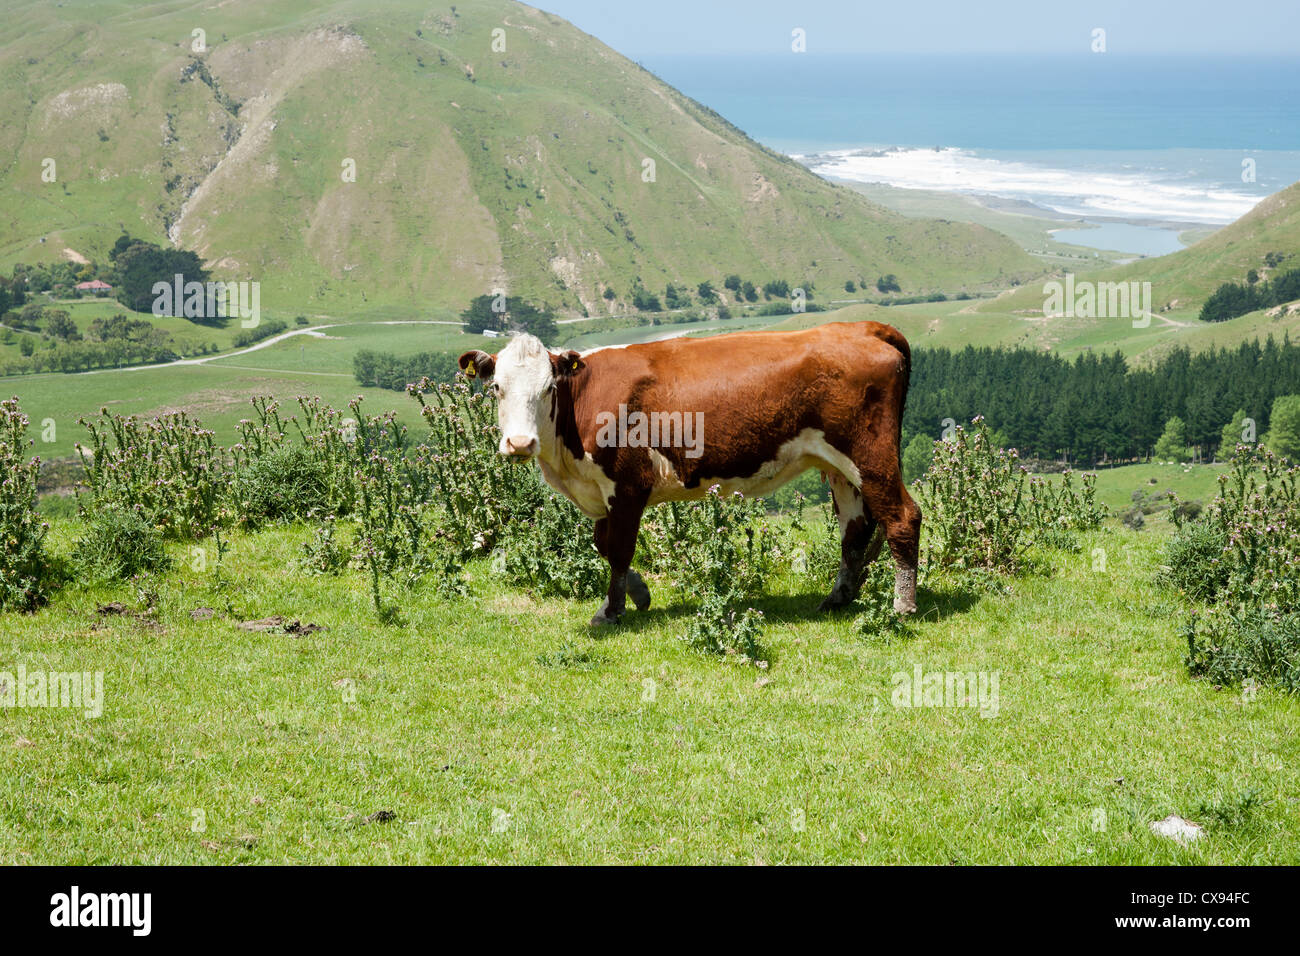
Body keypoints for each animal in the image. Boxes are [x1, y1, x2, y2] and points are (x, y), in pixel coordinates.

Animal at [459, 321, 921, 626]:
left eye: (548, 388)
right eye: (496, 387)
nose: (520, 443)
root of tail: (863, 328)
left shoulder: (628, 484)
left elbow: (618, 549)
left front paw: (611, 610)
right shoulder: (602, 490)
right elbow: (603, 545)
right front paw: (637, 593)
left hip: (871, 455)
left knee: (903, 517)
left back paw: (902, 607)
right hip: (839, 466)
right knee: (855, 529)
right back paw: (839, 597)